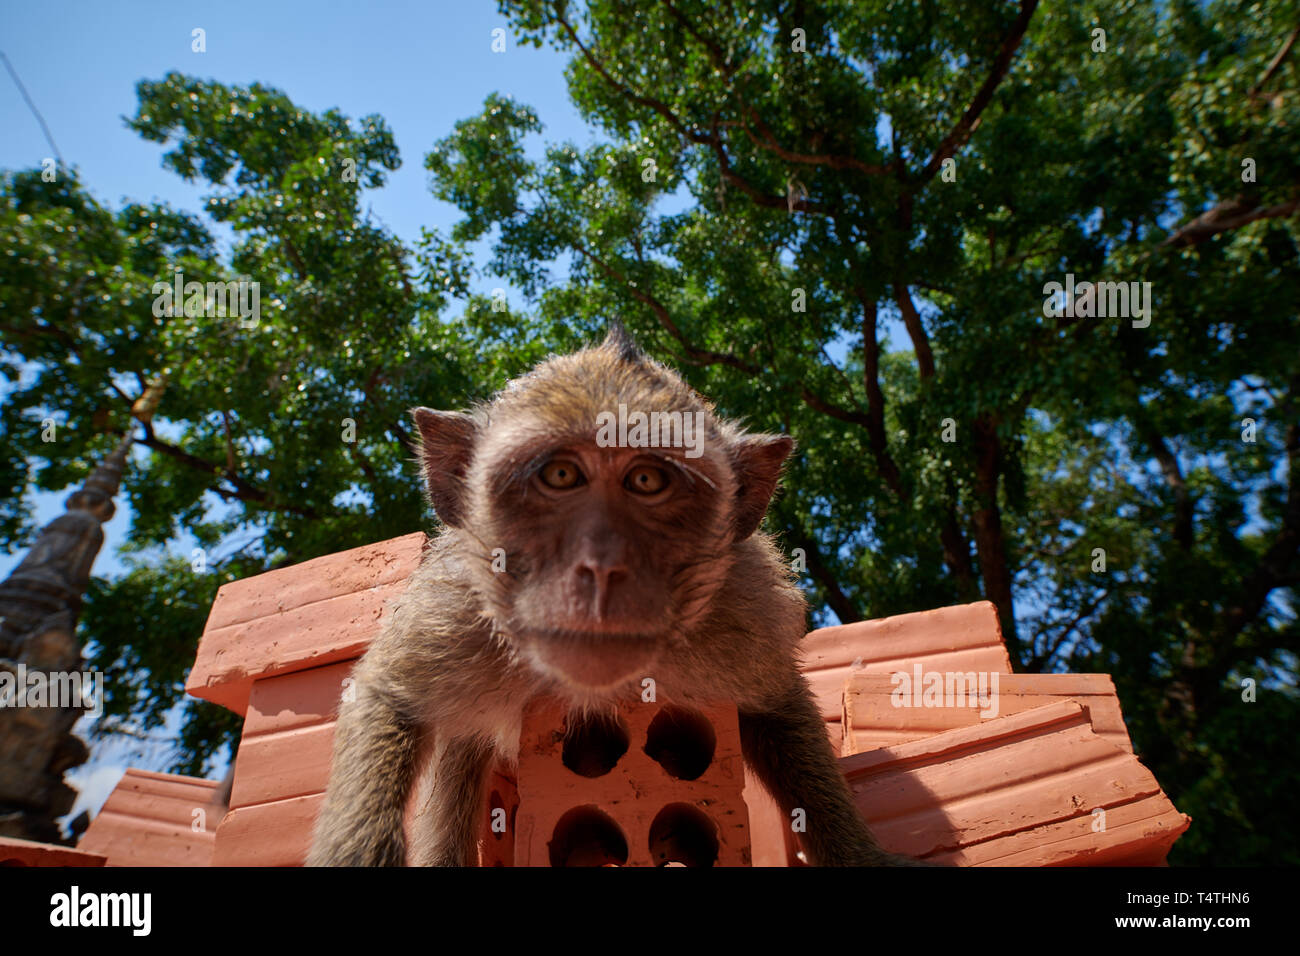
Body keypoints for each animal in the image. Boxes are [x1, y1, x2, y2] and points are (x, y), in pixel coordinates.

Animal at [307, 325, 907, 867]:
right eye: (560, 475)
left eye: (646, 482)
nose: (601, 565)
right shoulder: (456, 613)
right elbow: (385, 697)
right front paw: (357, 854)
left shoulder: (742, 613)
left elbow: (777, 705)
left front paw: (858, 854)